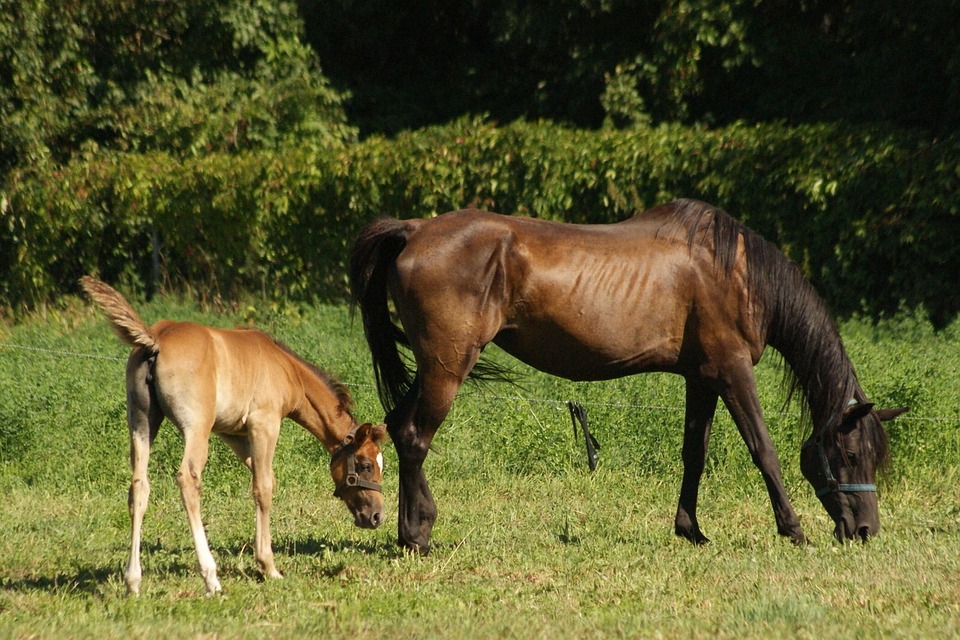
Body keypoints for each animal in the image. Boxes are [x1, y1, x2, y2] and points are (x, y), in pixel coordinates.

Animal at [80, 276, 387, 595]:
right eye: (365, 465)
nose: (377, 516)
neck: (286, 369)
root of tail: (156, 340)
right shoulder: (264, 424)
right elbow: (263, 487)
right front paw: (268, 566)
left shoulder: (233, 434)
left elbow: (265, 478)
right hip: (197, 429)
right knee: (188, 479)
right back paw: (211, 578)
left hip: (142, 423)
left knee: (139, 486)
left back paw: (133, 582)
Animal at [349, 199, 908, 553]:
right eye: (850, 455)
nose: (864, 531)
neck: (734, 271)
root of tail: (415, 230)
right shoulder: (732, 371)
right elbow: (763, 450)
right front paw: (792, 529)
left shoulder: (701, 377)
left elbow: (694, 453)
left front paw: (691, 530)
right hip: (447, 367)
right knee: (416, 436)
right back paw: (416, 534)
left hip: (433, 367)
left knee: (397, 428)